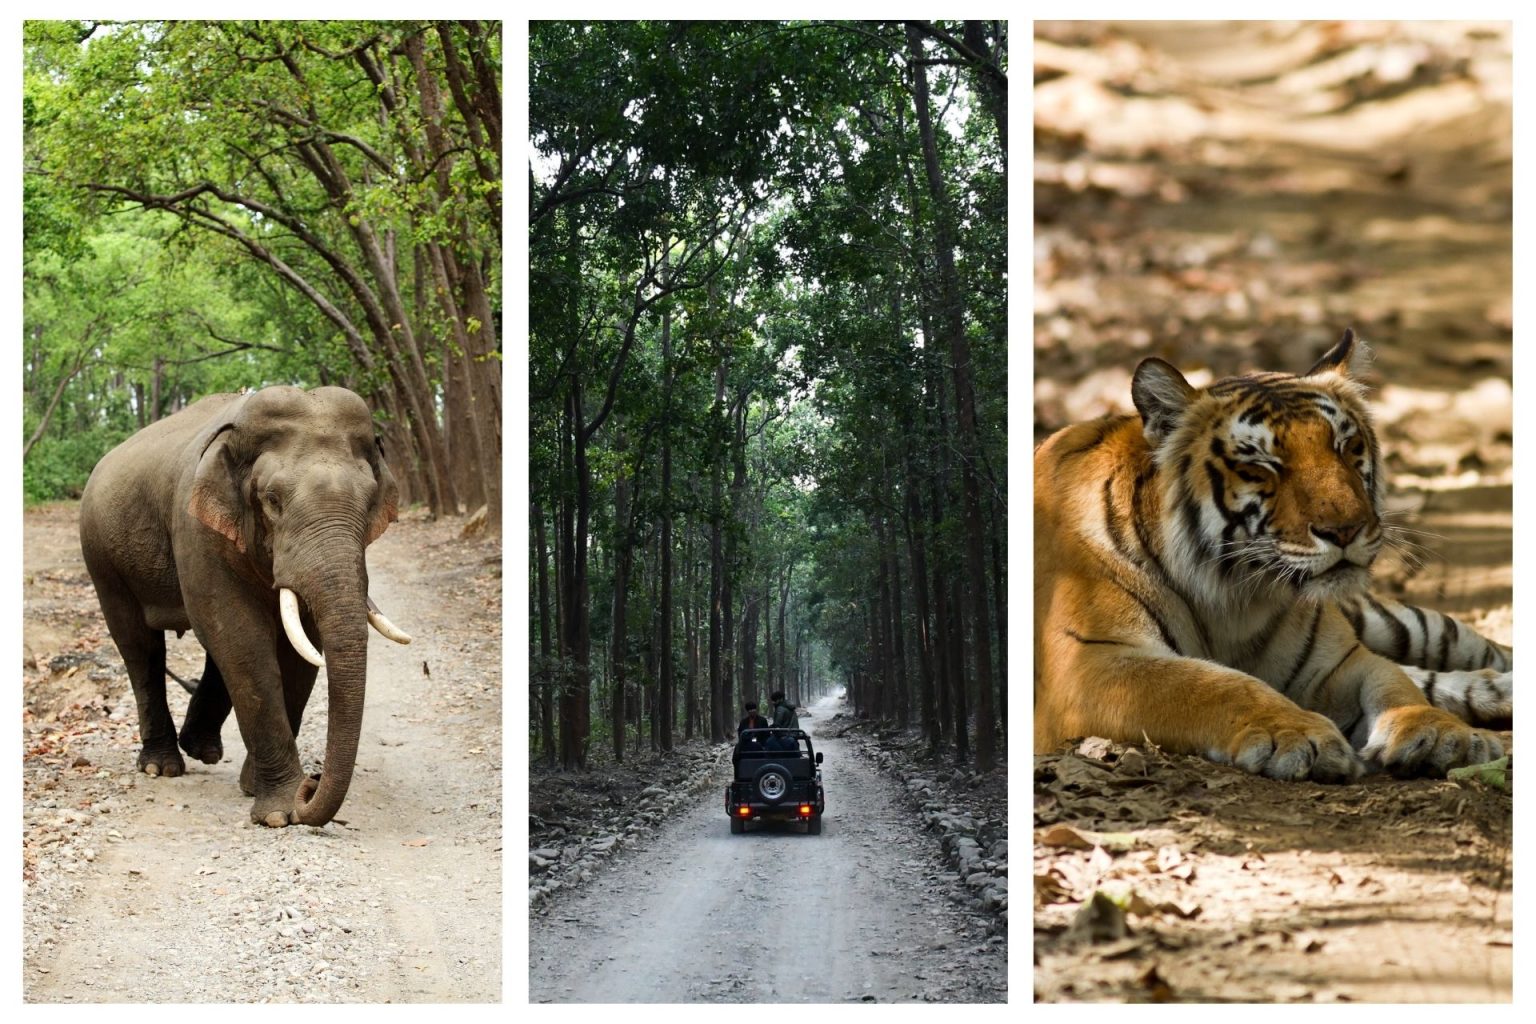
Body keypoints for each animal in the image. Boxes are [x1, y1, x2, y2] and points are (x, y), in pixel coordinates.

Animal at [1034, 330, 1511, 781]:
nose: (1346, 530)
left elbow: (1394, 684)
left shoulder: (1336, 662)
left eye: (1347, 447)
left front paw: (1441, 733)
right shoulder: (1091, 663)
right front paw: (1297, 735)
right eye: (1261, 466)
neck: (1233, 597)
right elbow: (1218, 685)